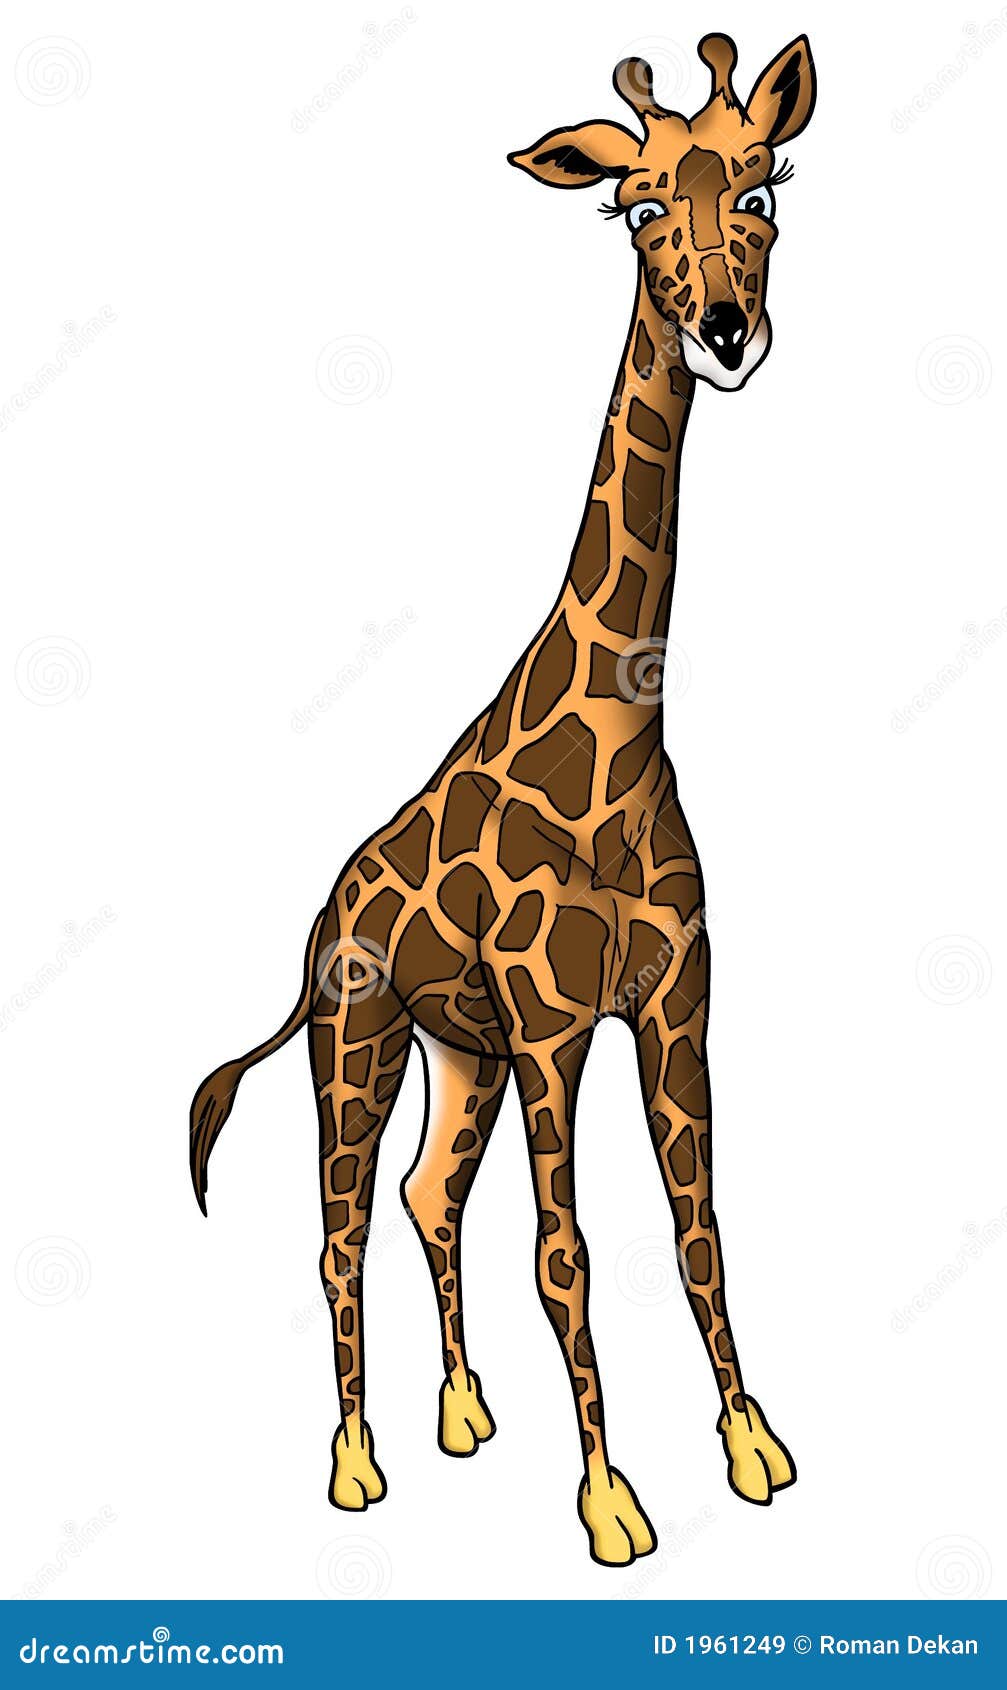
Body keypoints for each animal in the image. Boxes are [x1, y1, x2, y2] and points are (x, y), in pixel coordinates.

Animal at [191, 33, 816, 1567]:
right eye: (634, 209)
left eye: (762, 189)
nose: (725, 332)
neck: (621, 738)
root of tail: (320, 916)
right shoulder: (551, 1023)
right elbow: (567, 1252)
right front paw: (608, 1500)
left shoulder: (671, 1002)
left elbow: (696, 1226)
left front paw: (751, 1445)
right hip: (359, 1037)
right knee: (341, 1226)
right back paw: (357, 1463)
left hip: (456, 1049)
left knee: (427, 1197)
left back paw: (463, 1413)